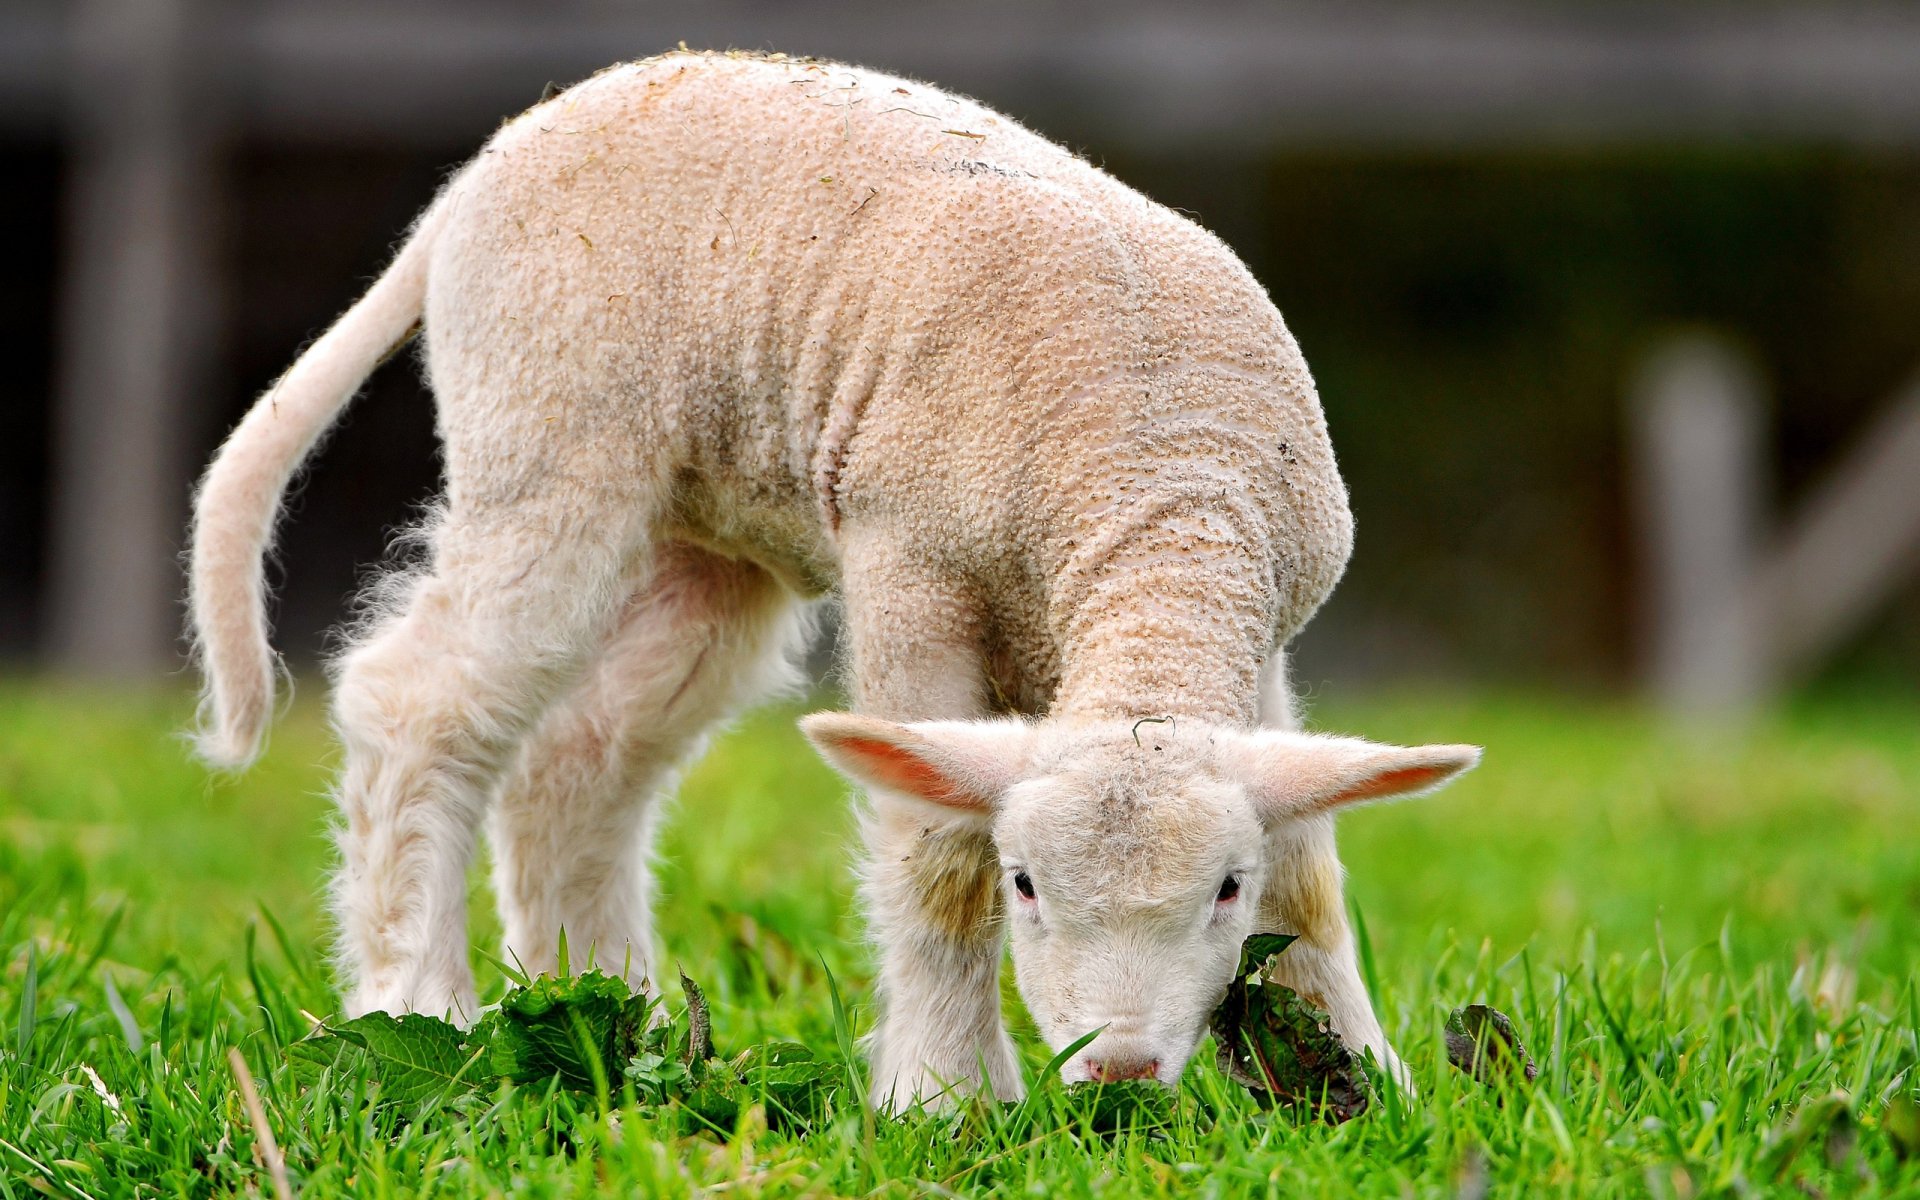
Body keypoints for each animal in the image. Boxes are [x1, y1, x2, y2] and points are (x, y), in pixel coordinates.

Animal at [187, 49, 1480, 1111]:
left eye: (1223, 889)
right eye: (1026, 884)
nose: (1116, 1071)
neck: (1151, 493)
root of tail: (473, 179)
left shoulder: (1265, 640)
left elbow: (1309, 880)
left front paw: (1360, 1085)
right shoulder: (912, 569)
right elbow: (935, 856)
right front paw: (949, 1102)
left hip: (706, 538)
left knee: (581, 760)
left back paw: (606, 1018)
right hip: (549, 435)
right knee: (419, 702)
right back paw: (423, 1008)